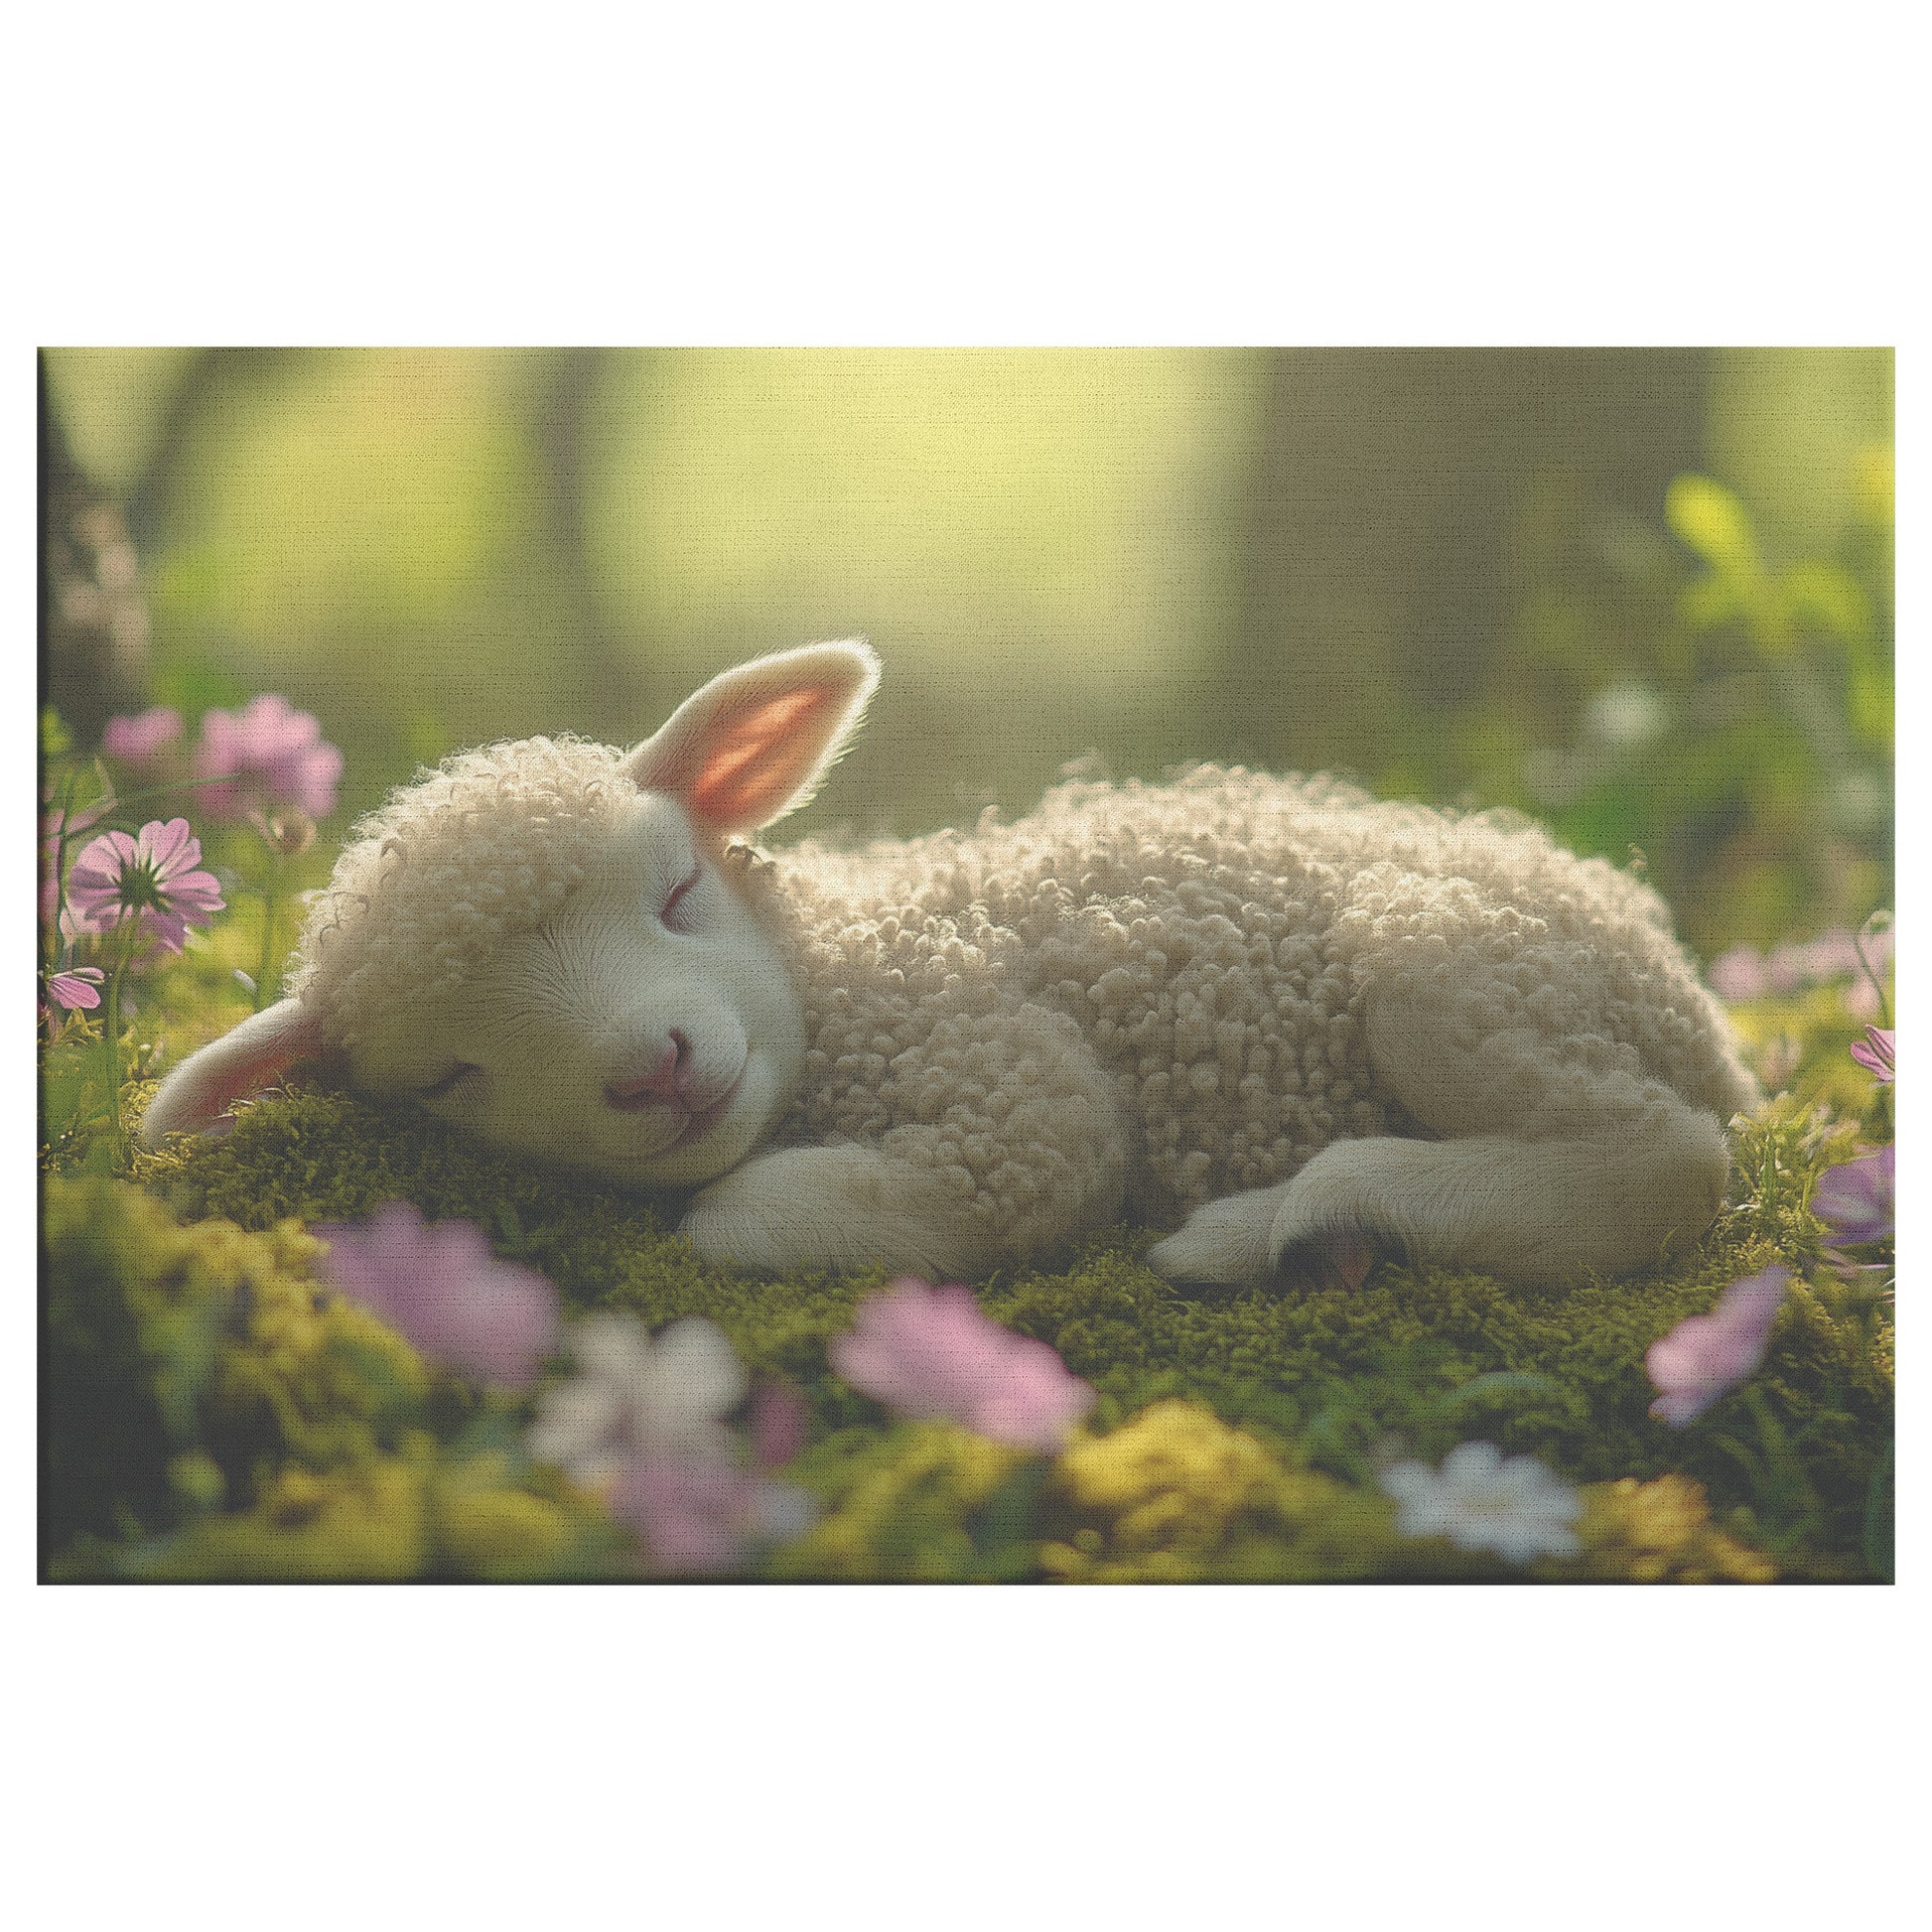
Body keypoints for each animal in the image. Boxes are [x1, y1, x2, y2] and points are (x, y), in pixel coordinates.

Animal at [142, 640, 1761, 1287]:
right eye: (453, 1072)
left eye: (676, 889)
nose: (652, 1069)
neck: (848, 961)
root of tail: (1691, 996)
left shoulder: (1005, 1084)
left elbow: (745, 1217)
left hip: (1463, 961)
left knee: (1658, 1159)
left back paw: (1294, 1216)